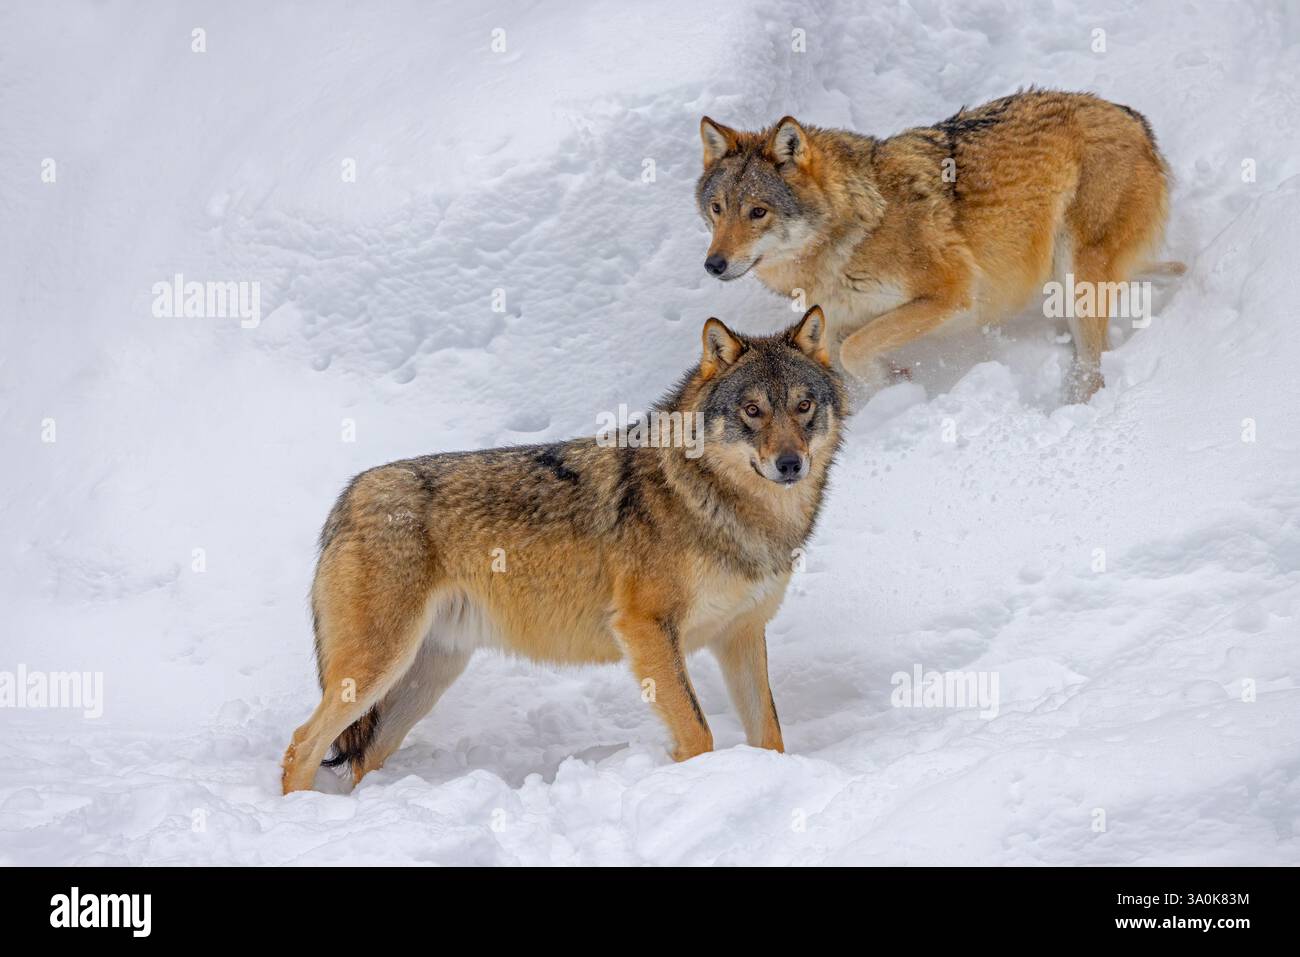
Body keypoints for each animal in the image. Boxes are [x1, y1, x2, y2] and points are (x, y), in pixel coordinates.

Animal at [281, 308, 846, 793]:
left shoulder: (742, 634)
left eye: (803, 406)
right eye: (752, 411)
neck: (728, 507)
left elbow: (770, 734)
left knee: (359, 760)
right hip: (377, 669)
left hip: (423, 680)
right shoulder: (646, 628)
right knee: (300, 745)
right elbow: (698, 733)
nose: (790, 464)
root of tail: (350, 494)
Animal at [696, 89, 1183, 401]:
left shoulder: (950, 294)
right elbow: (840, 349)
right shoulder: (837, 319)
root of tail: (1131, 117)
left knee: (1093, 367)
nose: (713, 265)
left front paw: (897, 388)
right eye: (717, 209)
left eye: (757, 212)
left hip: (1077, 276)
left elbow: (855, 350)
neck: (850, 233)